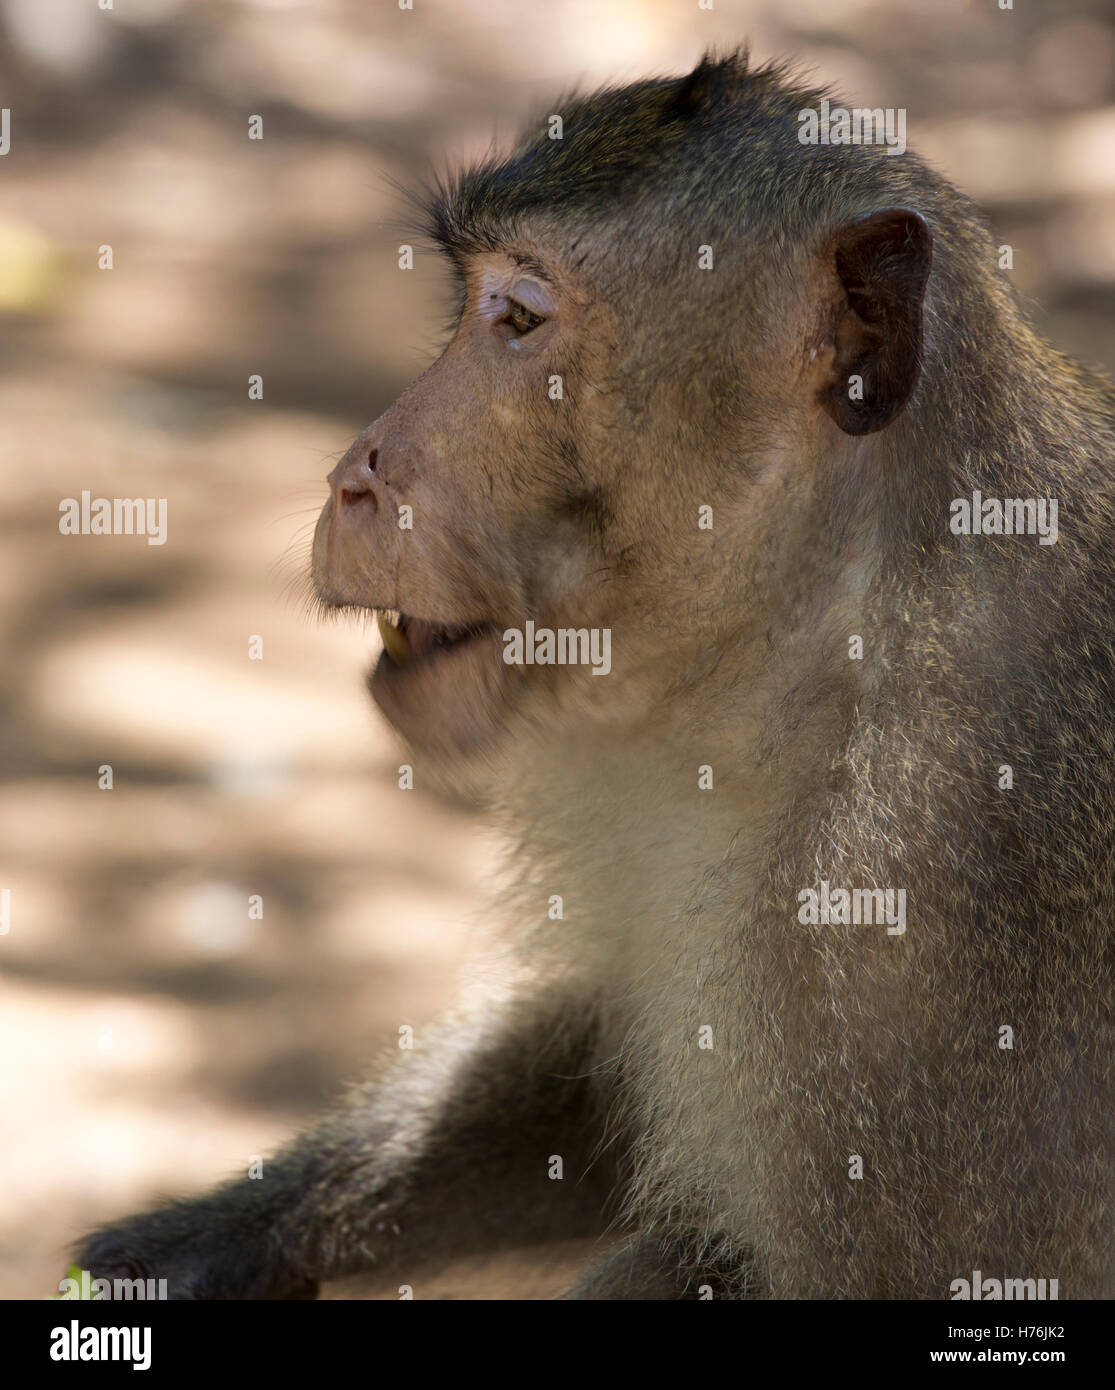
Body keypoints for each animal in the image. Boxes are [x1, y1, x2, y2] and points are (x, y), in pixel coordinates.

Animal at [76, 50, 1113, 1300]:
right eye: (467, 297)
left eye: (518, 318)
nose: (356, 472)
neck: (822, 641)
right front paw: (199, 1243)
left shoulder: (926, 891)